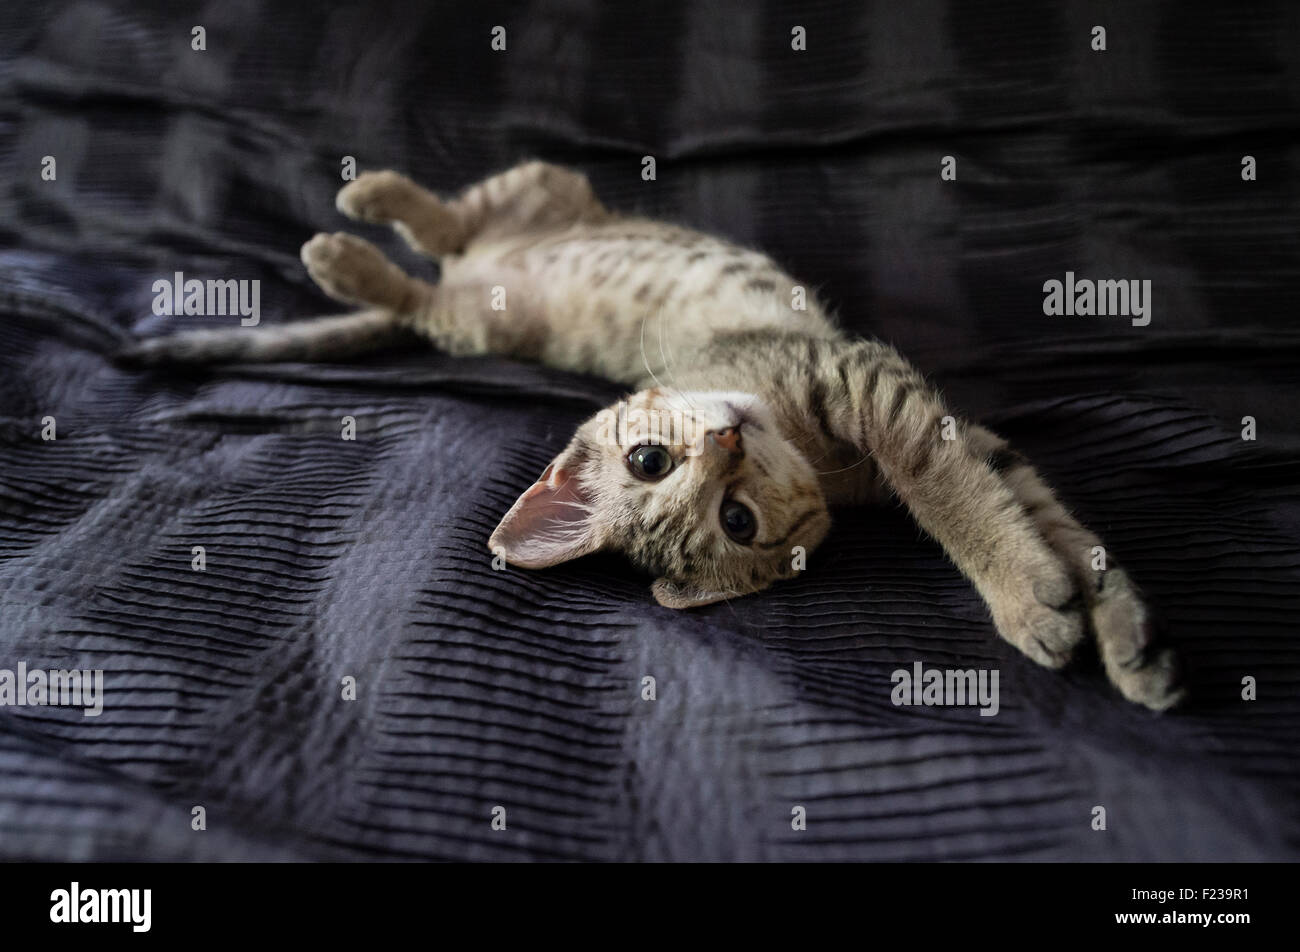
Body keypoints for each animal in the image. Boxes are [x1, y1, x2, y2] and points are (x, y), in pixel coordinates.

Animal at [124, 161, 1190, 707]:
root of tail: (488, 275)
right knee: (423, 290)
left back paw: (369, 204)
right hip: (475, 325)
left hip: (543, 194)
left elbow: (1015, 502)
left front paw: (1116, 629)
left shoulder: (906, 402)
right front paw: (1034, 598)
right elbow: (967, 496)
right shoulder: (881, 392)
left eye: (652, 460)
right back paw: (349, 257)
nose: (724, 443)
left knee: (452, 226)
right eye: (734, 521)